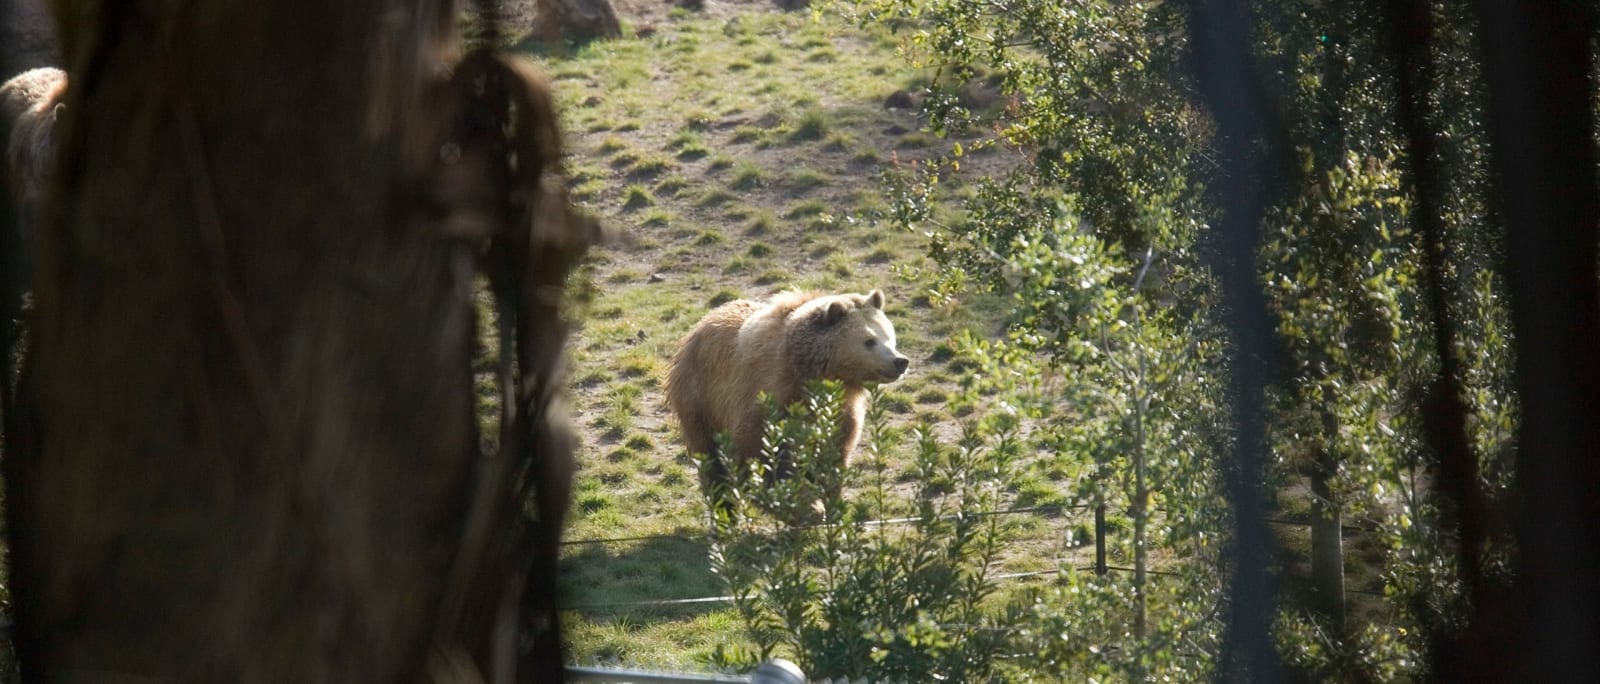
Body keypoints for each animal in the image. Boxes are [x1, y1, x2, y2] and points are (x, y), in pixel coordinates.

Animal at [665, 289, 910, 493]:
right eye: (870, 341)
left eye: (890, 337)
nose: (900, 361)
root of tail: (702, 323)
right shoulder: (768, 391)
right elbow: (758, 445)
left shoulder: (841, 409)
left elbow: (836, 450)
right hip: (701, 399)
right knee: (710, 458)